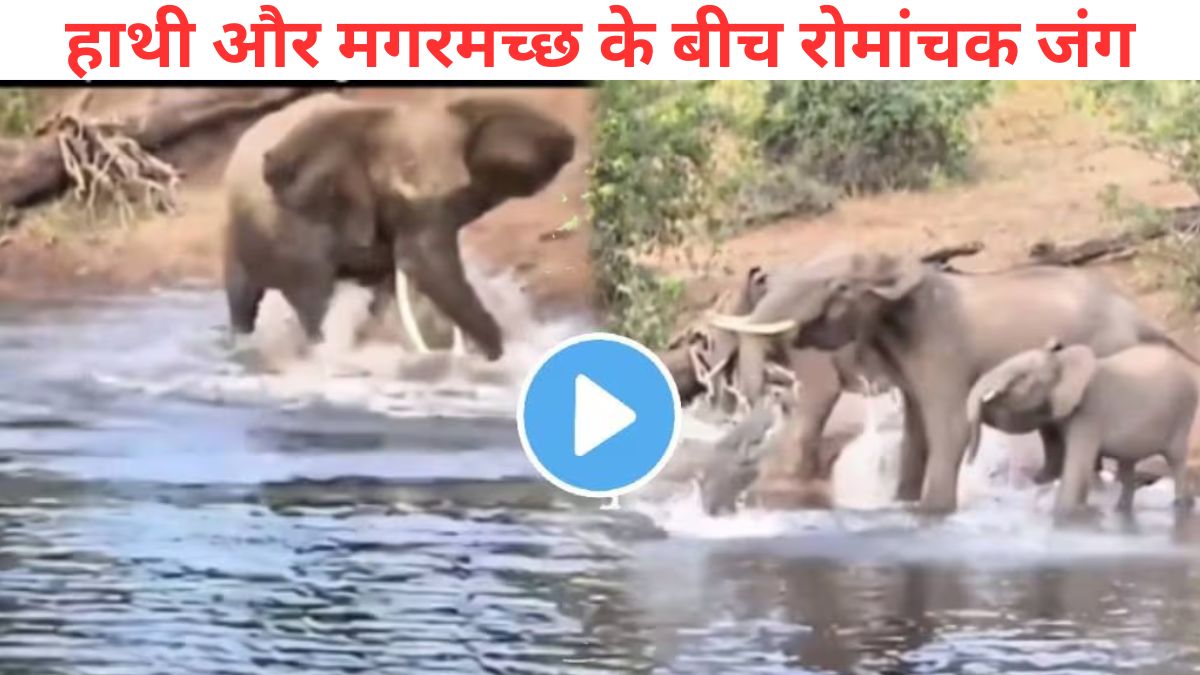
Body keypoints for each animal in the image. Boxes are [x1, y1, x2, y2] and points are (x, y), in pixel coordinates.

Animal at [221, 92, 576, 361]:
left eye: (460, 196)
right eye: (393, 199)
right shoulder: (301, 227)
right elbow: (315, 301)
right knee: (242, 301)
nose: (496, 357)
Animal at [965, 339, 1197, 515]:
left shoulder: (1089, 414)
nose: (969, 463)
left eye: (1022, 378)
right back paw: (1121, 511)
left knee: (1176, 459)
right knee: (1127, 466)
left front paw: (1064, 514)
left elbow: (1076, 467)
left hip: (1182, 413)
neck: (1063, 361)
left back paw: (1182, 507)